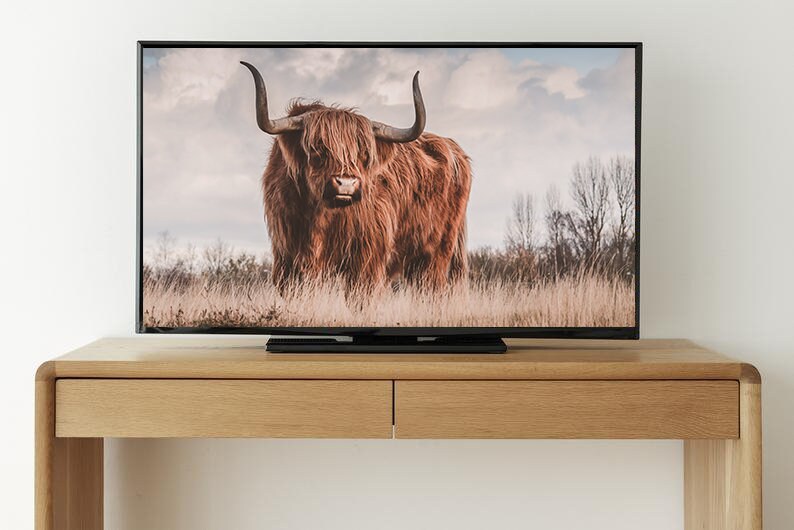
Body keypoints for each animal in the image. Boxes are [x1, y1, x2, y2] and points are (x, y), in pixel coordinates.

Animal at [241, 61, 472, 295]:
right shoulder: (286, 257)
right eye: (317, 149)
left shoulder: (367, 257)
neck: (319, 218)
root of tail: (454, 149)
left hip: (436, 253)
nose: (346, 184)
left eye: (365, 154)